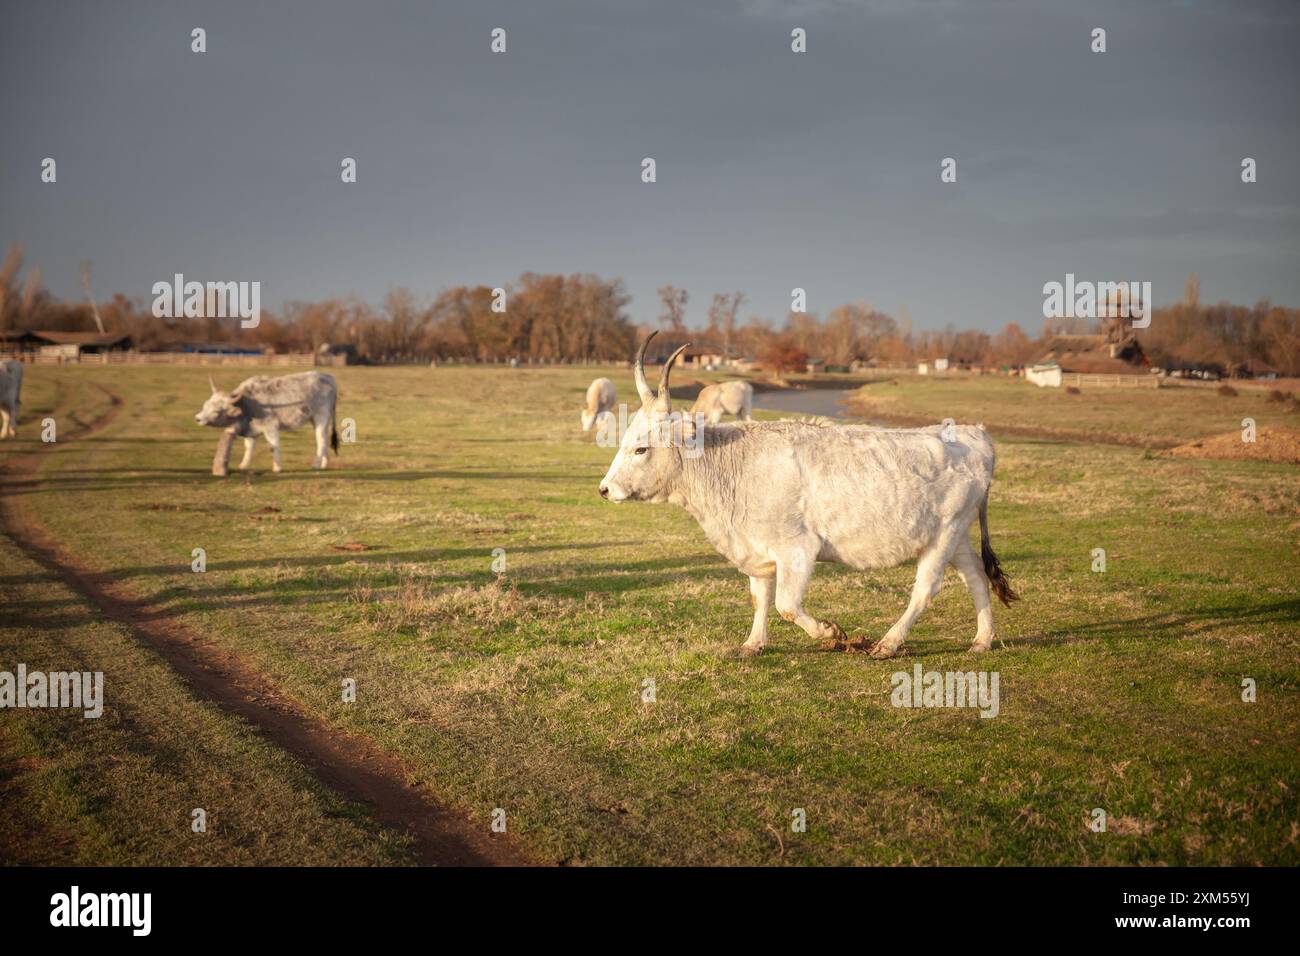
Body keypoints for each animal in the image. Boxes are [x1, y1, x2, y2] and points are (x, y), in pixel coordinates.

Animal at [195, 370, 338, 475]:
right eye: (205, 405)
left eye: (217, 411)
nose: (197, 418)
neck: (247, 404)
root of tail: (327, 376)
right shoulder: (251, 430)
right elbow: (249, 447)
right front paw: (243, 465)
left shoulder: (270, 426)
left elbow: (273, 446)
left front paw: (277, 468)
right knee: (325, 439)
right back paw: (324, 463)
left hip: (321, 416)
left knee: (321, 440)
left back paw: (316, 464)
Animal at [598, 332, 1018, 659]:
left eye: (641, 449)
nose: (604, 489)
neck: (733, 467)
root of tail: (974, 433)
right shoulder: (757, 550)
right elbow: (761, 598)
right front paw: (753, 644)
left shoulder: (796, 548)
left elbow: (785, 604)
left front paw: (831, 633)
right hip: (955, 535)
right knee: (976, 575)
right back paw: (982, 640)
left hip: (944, 534)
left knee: (926, 589)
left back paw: (887, 643)